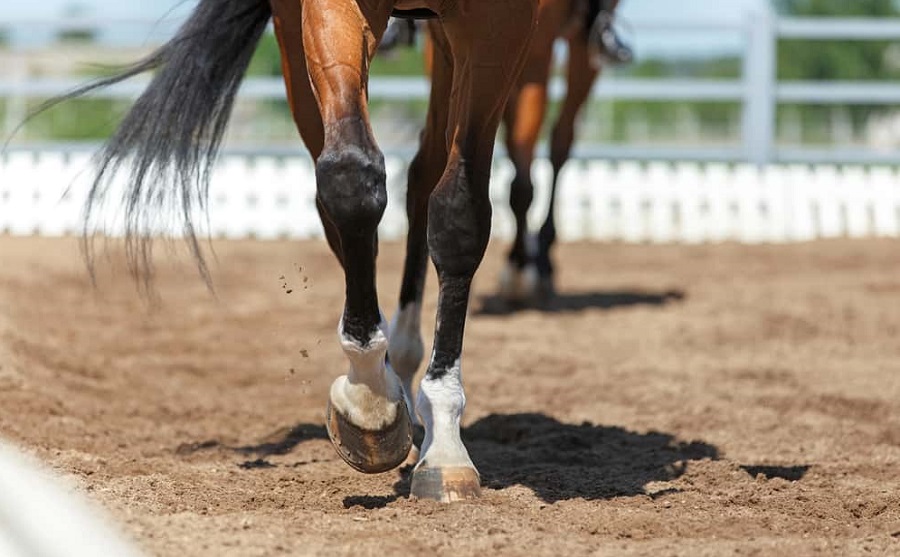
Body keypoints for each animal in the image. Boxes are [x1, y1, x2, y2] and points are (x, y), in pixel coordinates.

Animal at [46, 0, 538, 503]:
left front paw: (444, 447)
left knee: (427, 174)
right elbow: (349, 178)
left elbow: (460, 214)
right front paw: (370, 400)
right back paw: (393, 378)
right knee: (356, 191)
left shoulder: (501, 24)